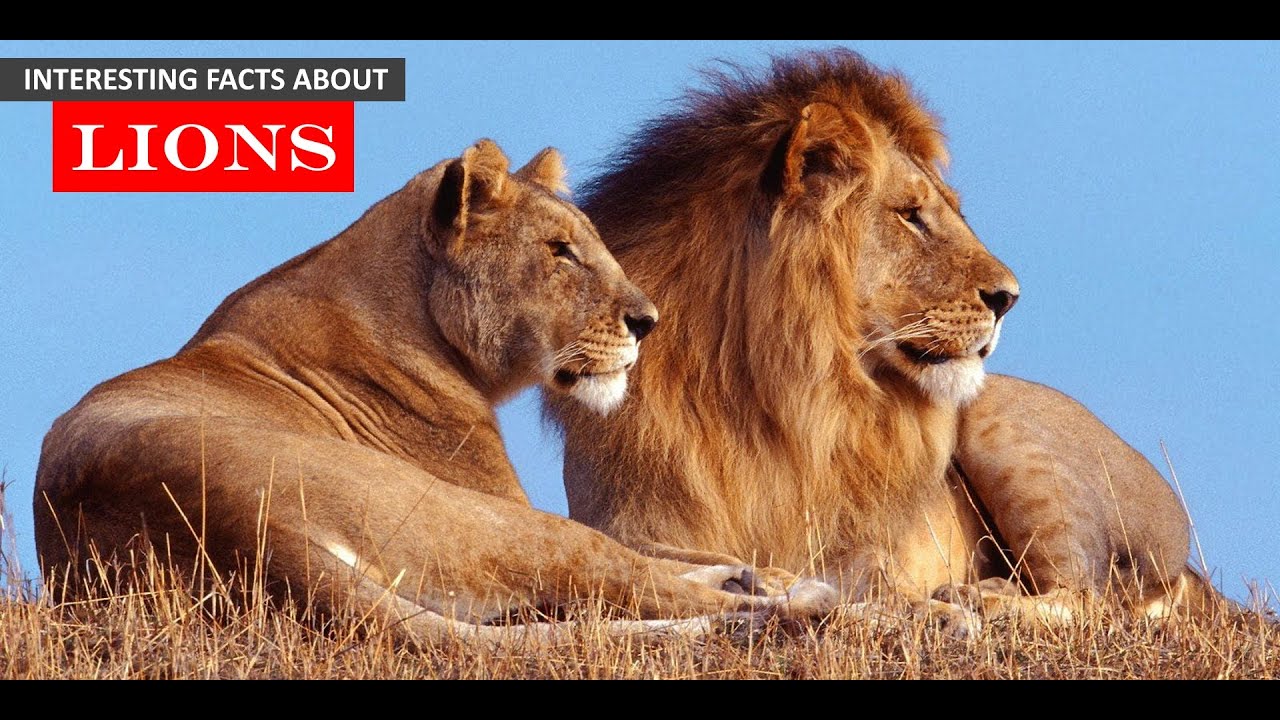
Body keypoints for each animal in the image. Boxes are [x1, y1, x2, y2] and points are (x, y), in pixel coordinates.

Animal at [33, 139, 836, 646]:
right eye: (559, 251)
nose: (649, 321)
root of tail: (238, 528)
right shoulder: (499, 498)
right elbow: (642, 554)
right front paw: (768, 579)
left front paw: (747, 568)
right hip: (487, 522)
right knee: (626, 578)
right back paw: (802, 601)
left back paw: (752, 583)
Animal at [546, 50, 1220, 622]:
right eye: (911, 215)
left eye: (950, 209)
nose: (1009, 297)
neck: (766, 394)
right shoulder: (620, 520)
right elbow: (648, 558)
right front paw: (749, 581)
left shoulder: (863, 546)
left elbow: (866, 579)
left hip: (1001, 421)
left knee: (1088, 597)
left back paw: (977, 599)